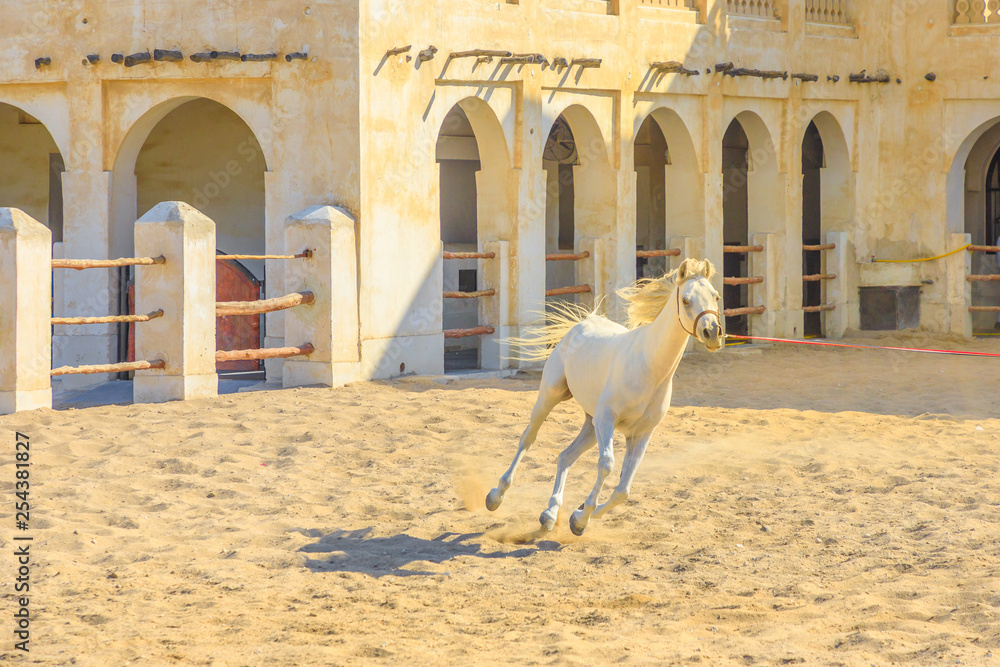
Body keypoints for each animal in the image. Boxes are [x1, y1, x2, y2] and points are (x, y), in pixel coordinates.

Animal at [485, 258, 724, 536]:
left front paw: (579, 517)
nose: (712, 333)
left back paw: (549, 514)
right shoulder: (607, 419)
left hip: (591, 424)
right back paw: (496, 496)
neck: (650, 367)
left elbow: (623, 491)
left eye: (716, 296)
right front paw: (581, 516)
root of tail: (583, 323)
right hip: (552, 395)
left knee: (565, 456)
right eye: (686, 300)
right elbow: (607, 465)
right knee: (528, 438)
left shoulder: (641, 433)